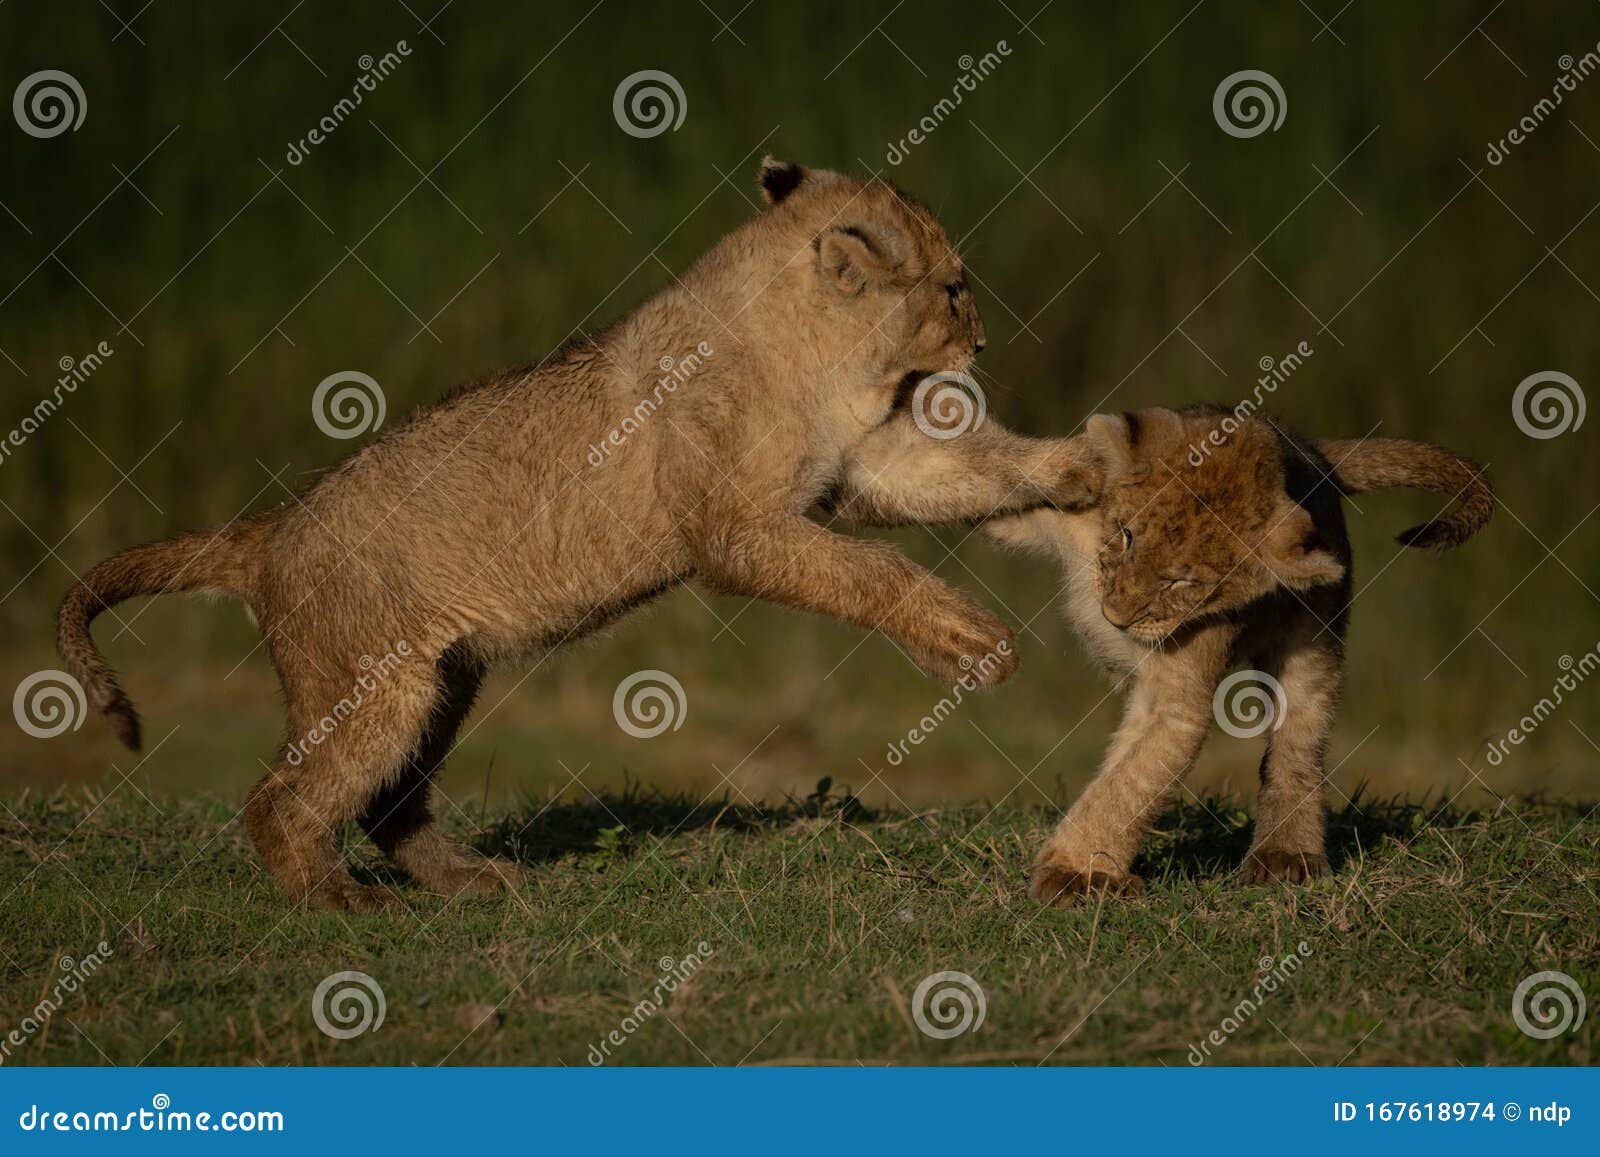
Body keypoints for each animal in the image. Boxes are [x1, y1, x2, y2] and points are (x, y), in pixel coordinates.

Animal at [56, 158, 1100, 911]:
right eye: (955, 289)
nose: (982, 344)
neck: (821, 349)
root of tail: (269, 528)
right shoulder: (737, 532)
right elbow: (868, 573)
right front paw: (969, 639)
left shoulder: (860, 467)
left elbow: (959, 474)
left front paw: (1076, 468)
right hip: (374, 681)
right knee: (282, 797)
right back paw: (338, 900)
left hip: (440, 677)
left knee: (387, 797)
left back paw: (468, 879)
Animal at [985, 406, 1493, 903]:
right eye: (1127, 536)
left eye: (1180, 581)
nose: (1114, 618)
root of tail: (1313, 452)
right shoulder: (1059, 519)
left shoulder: (1180, 698)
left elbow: (1131, 783)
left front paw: (1076, 874)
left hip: (1314, 640)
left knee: (1297, 747)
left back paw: (1285, 855)